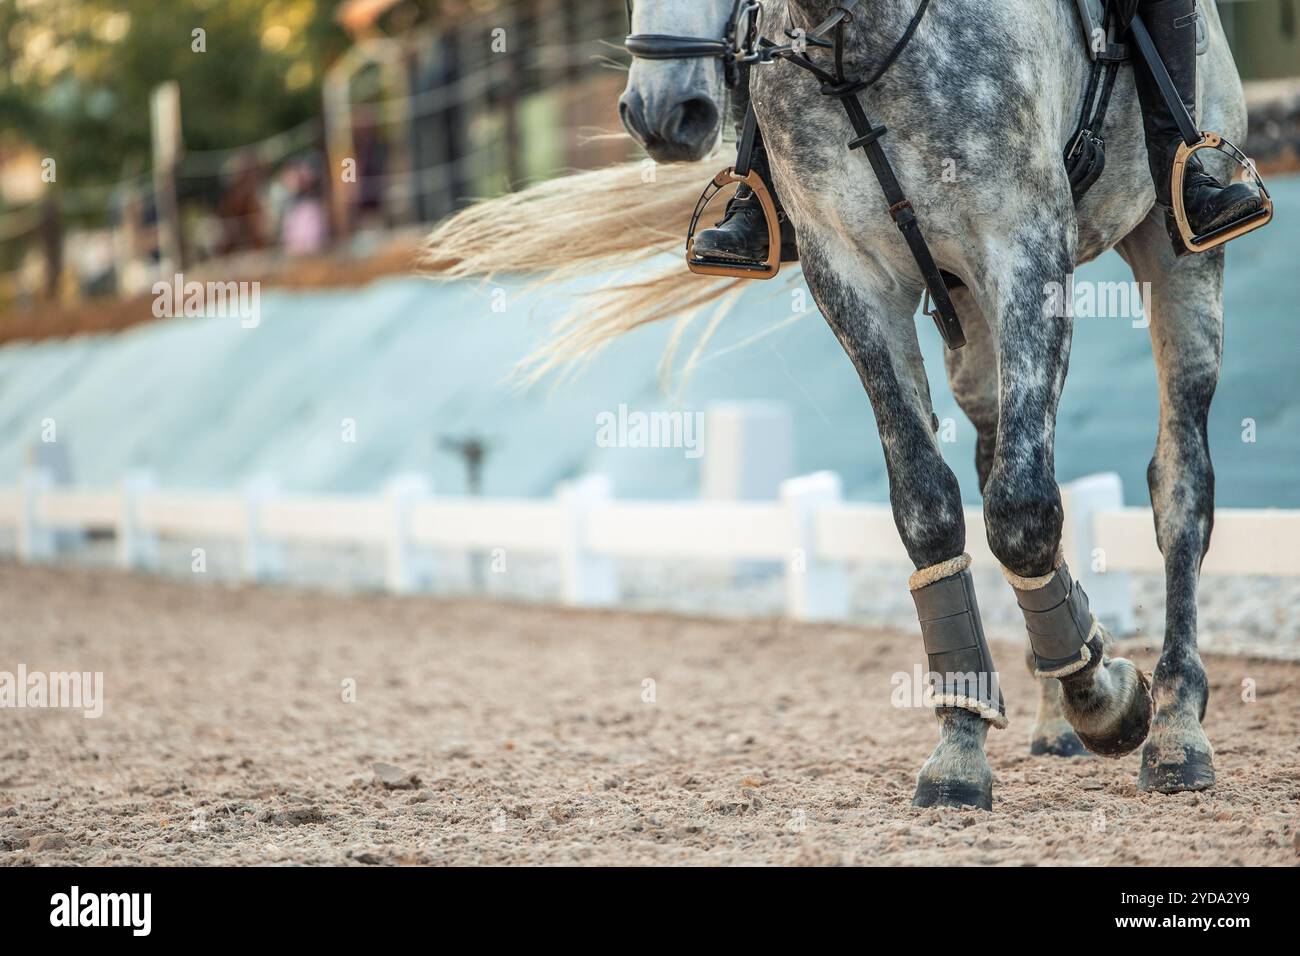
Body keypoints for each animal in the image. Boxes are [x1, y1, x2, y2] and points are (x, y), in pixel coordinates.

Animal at [425, 0, 1251, 810]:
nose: (663, 110)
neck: (864, 37)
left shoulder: (1025, 249)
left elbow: (1023, 512)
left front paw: (1111, 701)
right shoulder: (851, 275)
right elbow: (930, 508)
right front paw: (963, 745)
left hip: (1177, 258)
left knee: (1179, 485)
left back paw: (1176, 729)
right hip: (968, 312)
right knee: (997, 457)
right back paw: (1057, 712)